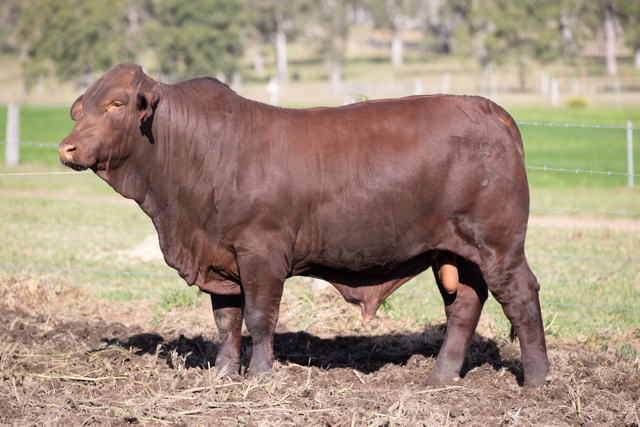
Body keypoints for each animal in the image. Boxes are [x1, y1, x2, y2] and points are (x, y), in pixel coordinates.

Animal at [59, 62, 551, 388]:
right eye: (79, 110)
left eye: (117, 103)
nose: (67, 148)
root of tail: (485, 108)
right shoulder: (220, 260)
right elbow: (226, 320)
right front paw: (223, 373)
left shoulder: (262, 252)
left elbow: (260, 317)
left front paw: (261, 375)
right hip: (456, 251)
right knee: (465, 304)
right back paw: (441, 377)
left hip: (499, 245)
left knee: (521, 297)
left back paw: (537, 382)